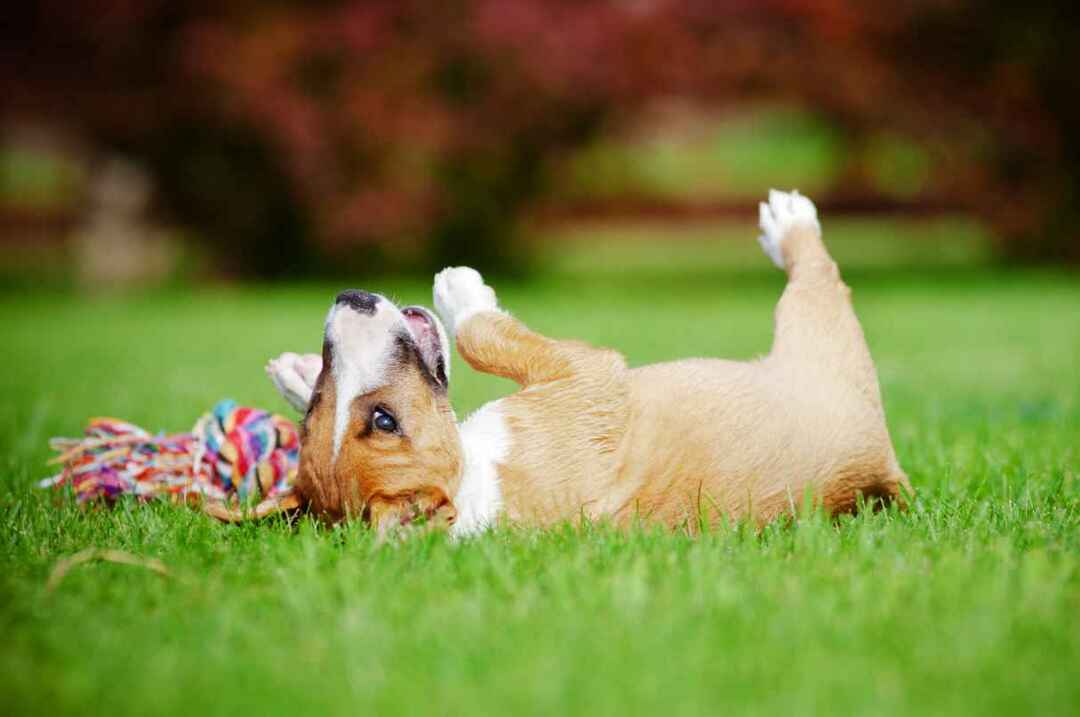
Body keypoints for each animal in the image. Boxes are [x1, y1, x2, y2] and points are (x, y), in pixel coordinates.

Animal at [265, 192, 907, 537]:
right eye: (385, 421)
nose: (349, 298)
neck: (472, 479)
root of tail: (883, 458)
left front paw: (297, 371)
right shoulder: (587, 372)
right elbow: (479, 335)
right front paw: (459, 287)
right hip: (817, 329)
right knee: (816, 276)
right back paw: (790, 223)